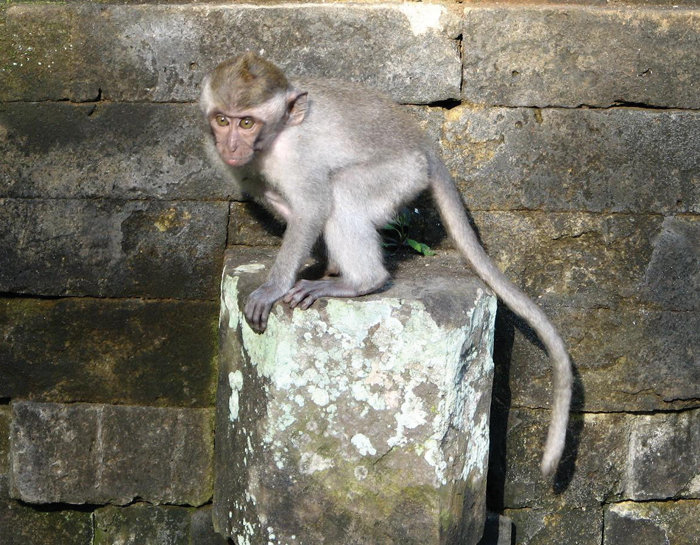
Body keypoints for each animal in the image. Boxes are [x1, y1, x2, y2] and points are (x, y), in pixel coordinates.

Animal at [200, 52, 572, 476]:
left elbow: (312, 206)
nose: (231, 144)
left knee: (343, 190)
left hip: (400, 175)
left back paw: (361, 280)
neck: (272, 140)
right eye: (222, 119)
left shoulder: (298, 155)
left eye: (247, 122)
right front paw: (319, 257)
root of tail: (423, 144)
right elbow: (271, 195)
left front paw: (274, 287)